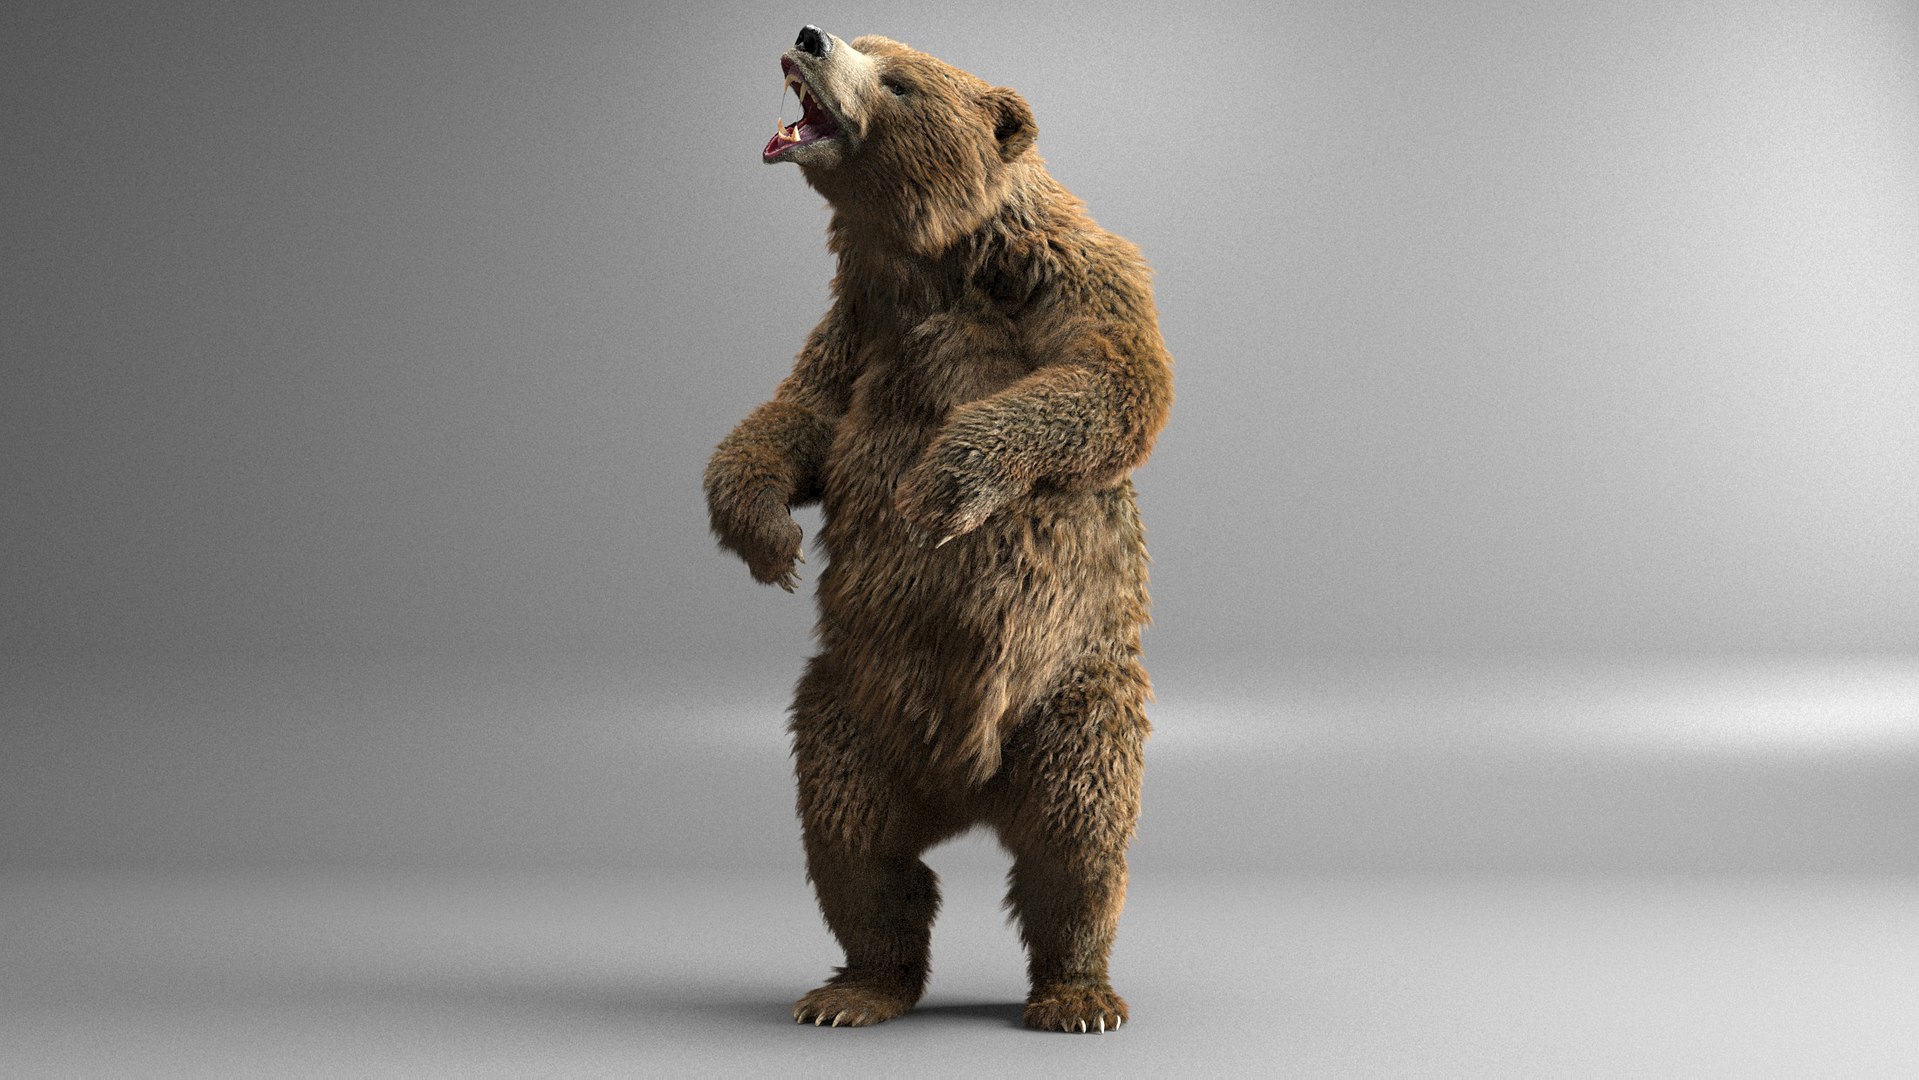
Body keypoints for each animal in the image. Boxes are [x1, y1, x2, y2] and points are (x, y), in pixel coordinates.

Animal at [704, 25, 1172, 1034]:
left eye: (900, 79)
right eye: (866, 41)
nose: (808, 34)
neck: (933, 259)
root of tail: (964, 792)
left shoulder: (1069, 276)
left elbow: (1110, 383)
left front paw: (939, 486)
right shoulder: (859, 326)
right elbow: (798, 416)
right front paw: (769, 539)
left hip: (1073, 702)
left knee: (1076, 850)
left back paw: (1077, 995)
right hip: (845, 709)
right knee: (856, 850)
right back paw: (853, 989)